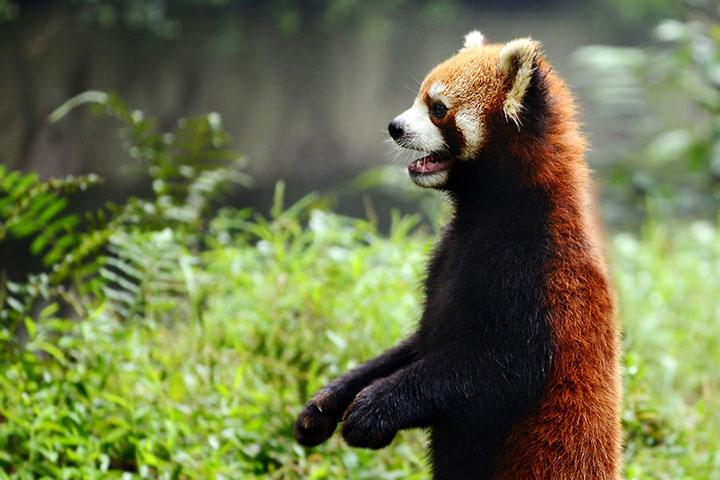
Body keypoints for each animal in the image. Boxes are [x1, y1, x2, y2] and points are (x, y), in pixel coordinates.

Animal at [294, 30, 622, 480]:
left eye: (437, 109)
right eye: (418, 98)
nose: (394, 127)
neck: (488, 210)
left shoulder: (534, 268)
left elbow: (503, 370)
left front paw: (373, 409)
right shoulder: (445, 257)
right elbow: (417, 345)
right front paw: (328, 399)